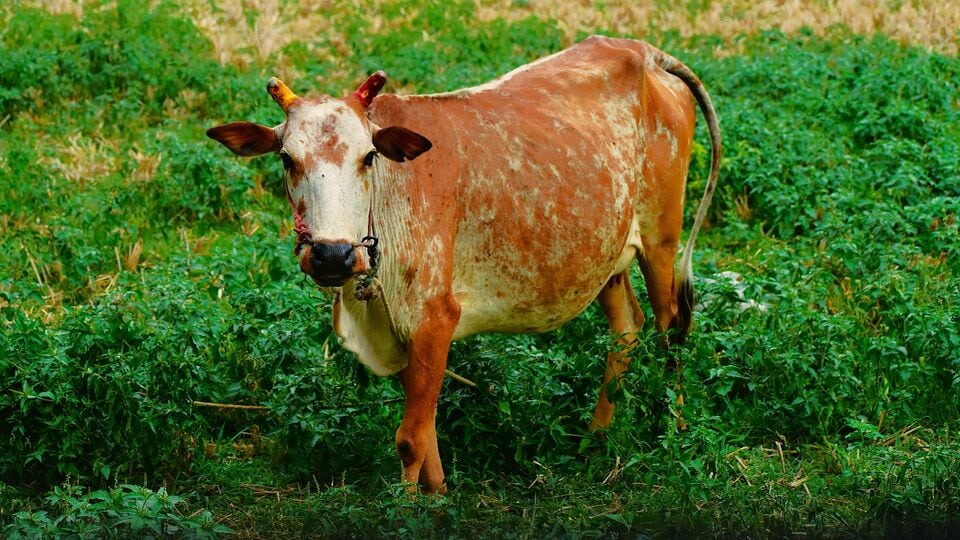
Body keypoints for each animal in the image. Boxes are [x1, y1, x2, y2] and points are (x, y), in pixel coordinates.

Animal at [207, 35, 721, 494]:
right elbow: (427, 429)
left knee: (671, 327)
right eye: (286, 159)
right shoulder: (403, 332)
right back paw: (595, 438)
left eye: (369, 157)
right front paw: (438, 496)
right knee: (626, 328)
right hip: (606, 253)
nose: (332, 254)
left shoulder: (436, 316)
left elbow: (410, 439)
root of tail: (643, 51)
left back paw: (675, 429)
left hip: (661, 238)